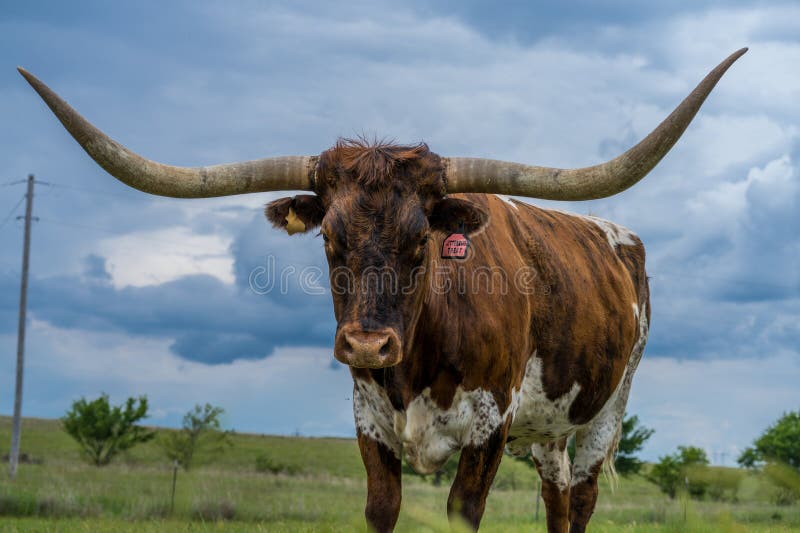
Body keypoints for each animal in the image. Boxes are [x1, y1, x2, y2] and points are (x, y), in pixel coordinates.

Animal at [19, 48, 745, 532]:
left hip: (606, 413)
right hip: (548, 432)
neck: (420, 359)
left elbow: (462, 513)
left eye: (422, 242)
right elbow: (382, 509)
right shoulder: (369, 423)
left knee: (584, 498)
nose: (368, 345)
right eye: (328, 239)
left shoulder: (489, 428)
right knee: (558, 496)